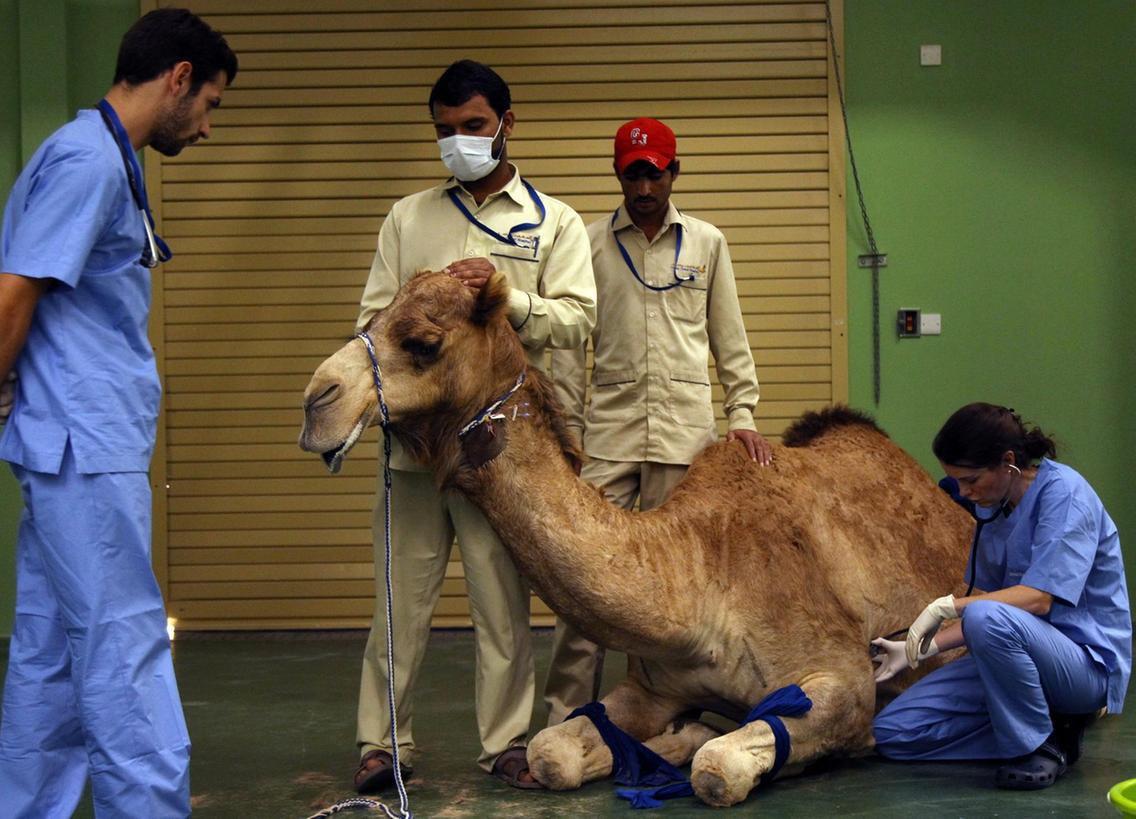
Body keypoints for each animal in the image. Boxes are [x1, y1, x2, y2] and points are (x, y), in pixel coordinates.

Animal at [299, 270, 972, 807]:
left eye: (423, 342)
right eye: (371, 319)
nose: (314, 402)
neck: (701, 573)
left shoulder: (843, 678)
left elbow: (718, 768)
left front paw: (832, 745)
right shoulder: (653, 687)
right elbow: (551, 751)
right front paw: (678, 737)